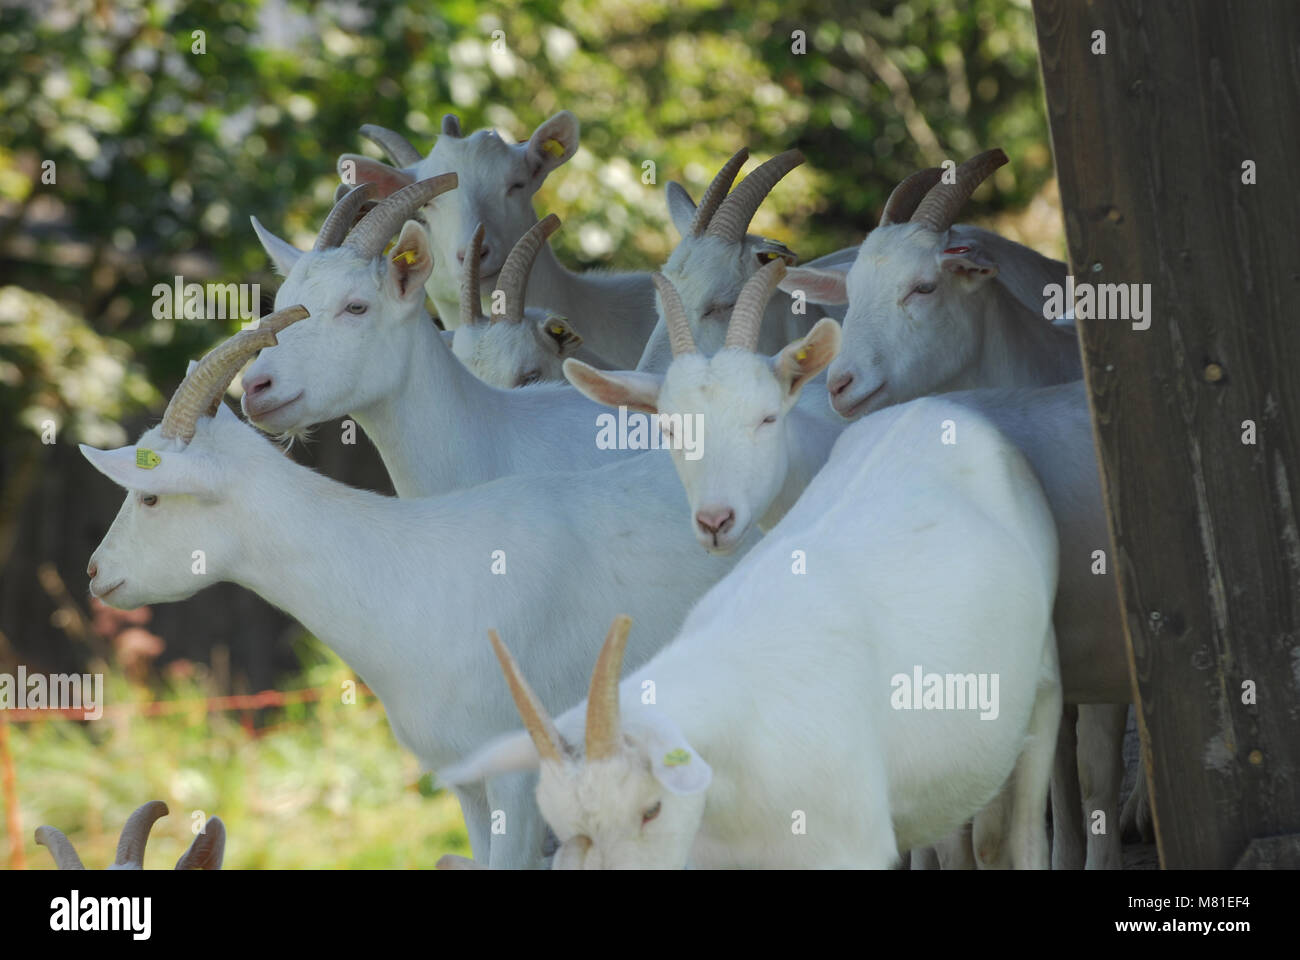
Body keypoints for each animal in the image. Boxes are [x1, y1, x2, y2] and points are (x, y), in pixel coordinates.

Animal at [442, 392, 1062, 868]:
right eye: (568, 825)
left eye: (650, 808)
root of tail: (936, 407)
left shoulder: (850, 846)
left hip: (1046, 684)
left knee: (1029, 829)